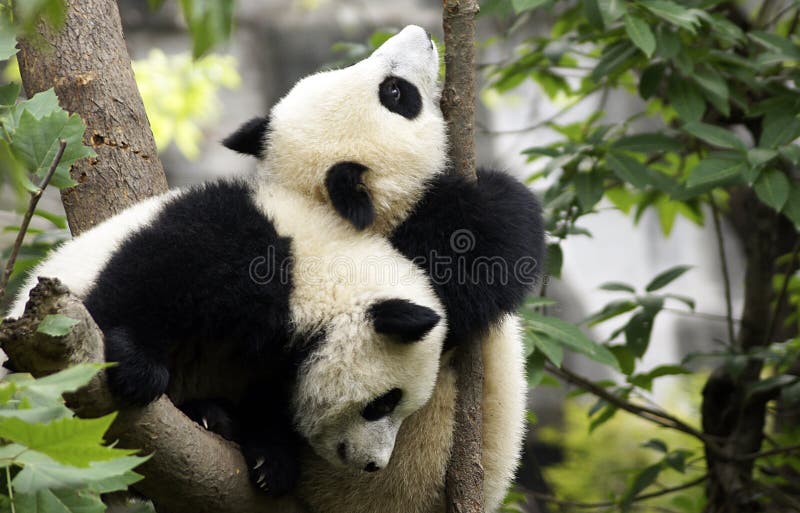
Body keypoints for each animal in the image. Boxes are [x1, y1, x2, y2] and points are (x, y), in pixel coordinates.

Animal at [8, 178, 447, 497]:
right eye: (383, 403)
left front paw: (272, 461)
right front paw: (137, 368)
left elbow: (270, 398)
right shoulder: (238, 241)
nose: (375, 464)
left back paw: (211, 415)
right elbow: (147, 283)